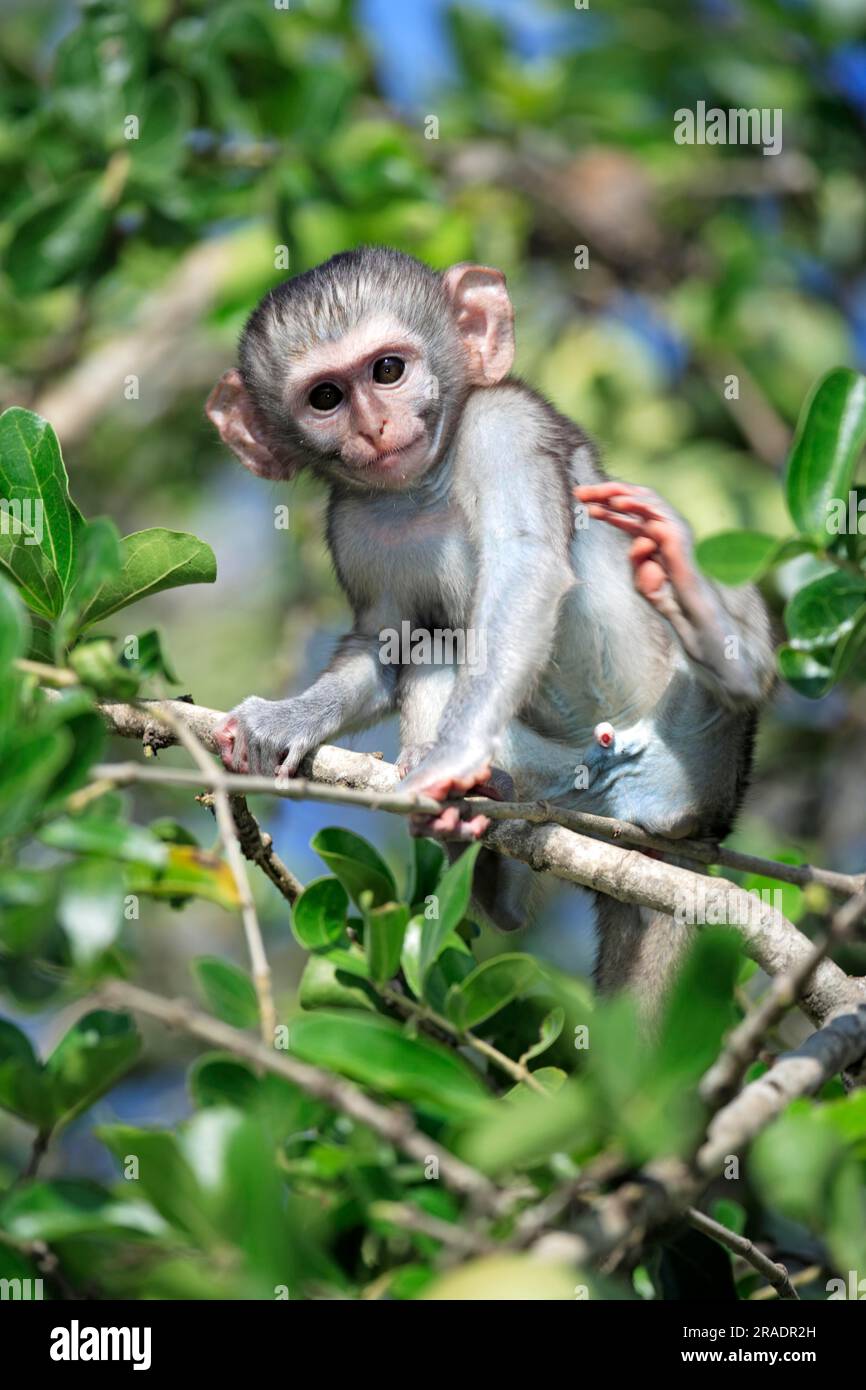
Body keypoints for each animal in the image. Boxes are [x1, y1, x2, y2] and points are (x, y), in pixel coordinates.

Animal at [206, 246, 775, 1023]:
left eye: (388, 370)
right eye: (325, 397)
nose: (374, 427)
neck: (424, 488)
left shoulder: (505, 422)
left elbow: (528, 563)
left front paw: (450, 760)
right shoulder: (353, 523)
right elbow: (385, 646)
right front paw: (285, 721)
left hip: (702, 757)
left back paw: (704, 617)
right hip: (559, 792)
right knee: (435, 652)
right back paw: (487, 865)